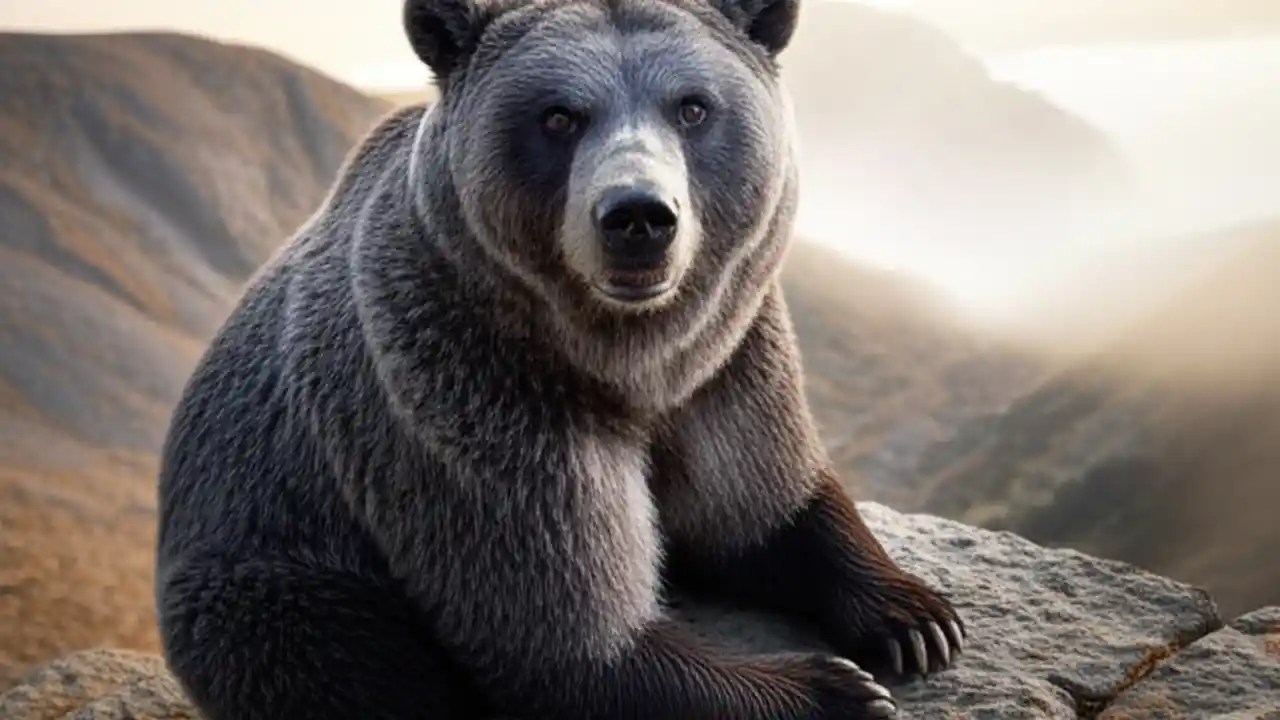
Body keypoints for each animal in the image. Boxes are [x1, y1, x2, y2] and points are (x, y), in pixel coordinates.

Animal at [153, 0, 965, 717]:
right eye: (558, 115)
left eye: (692, 107)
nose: (639, 217)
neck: (626, 357)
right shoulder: (461, 402)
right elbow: (570, 641)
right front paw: (838, 690)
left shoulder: (730, 360)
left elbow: (766, 500)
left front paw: (917, 618)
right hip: (273, 571)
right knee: (341, 658)